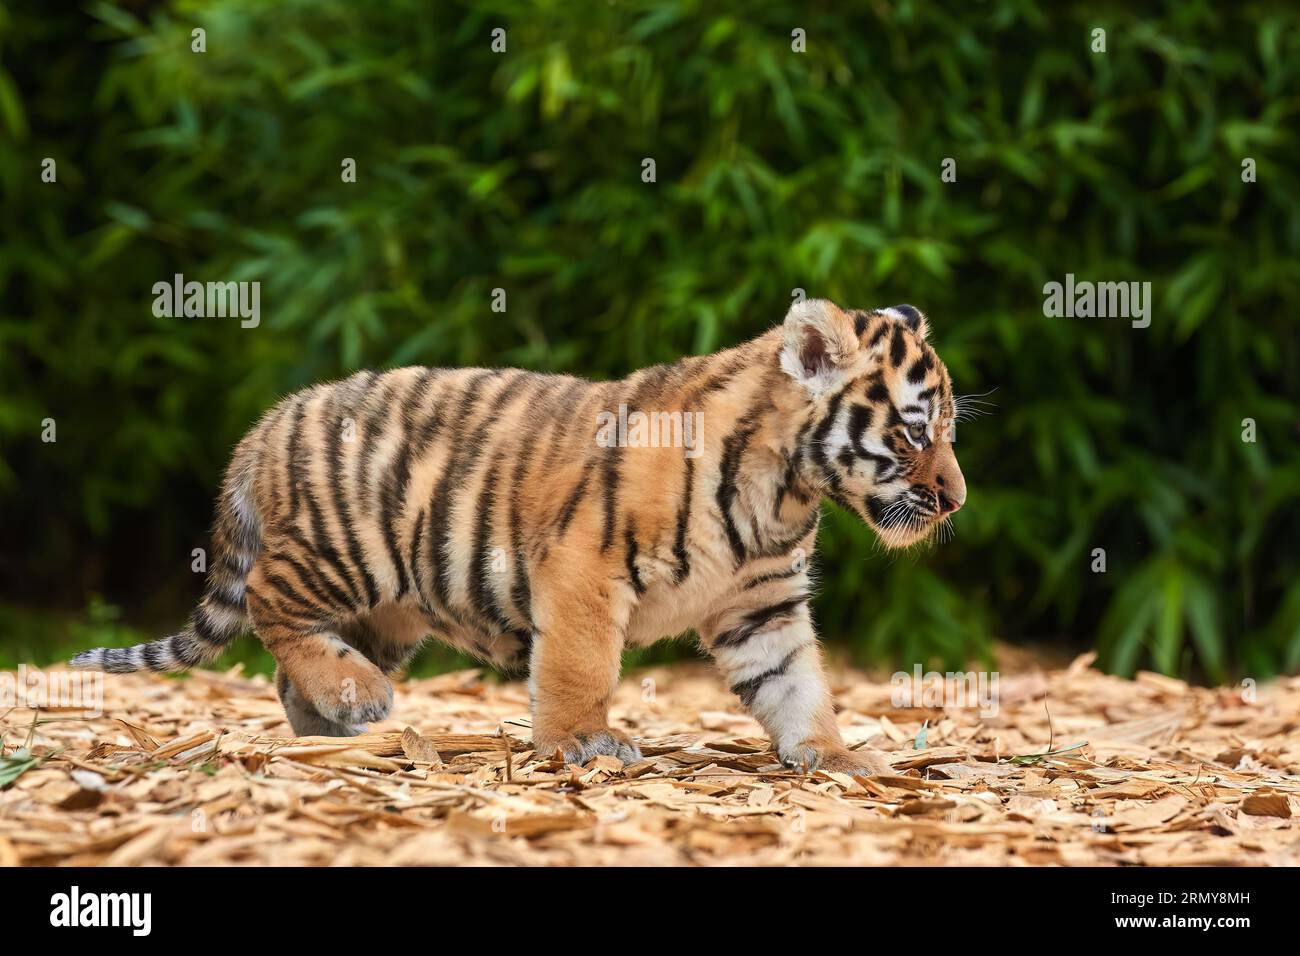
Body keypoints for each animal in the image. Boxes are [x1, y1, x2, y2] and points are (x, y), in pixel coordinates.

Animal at [72, 299, 966, 775]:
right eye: (918, 431)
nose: (956, 500)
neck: (788, 489)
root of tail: (268, 421)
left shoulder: (763, 604)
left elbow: (797, 681)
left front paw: (835, 755)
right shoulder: (585, 567)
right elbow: (580, 666)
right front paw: (583, 744)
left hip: (391, 610)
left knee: (295, 670)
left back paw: (338, 717)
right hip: (347, 550)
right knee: (268, 602)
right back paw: (356, 696)